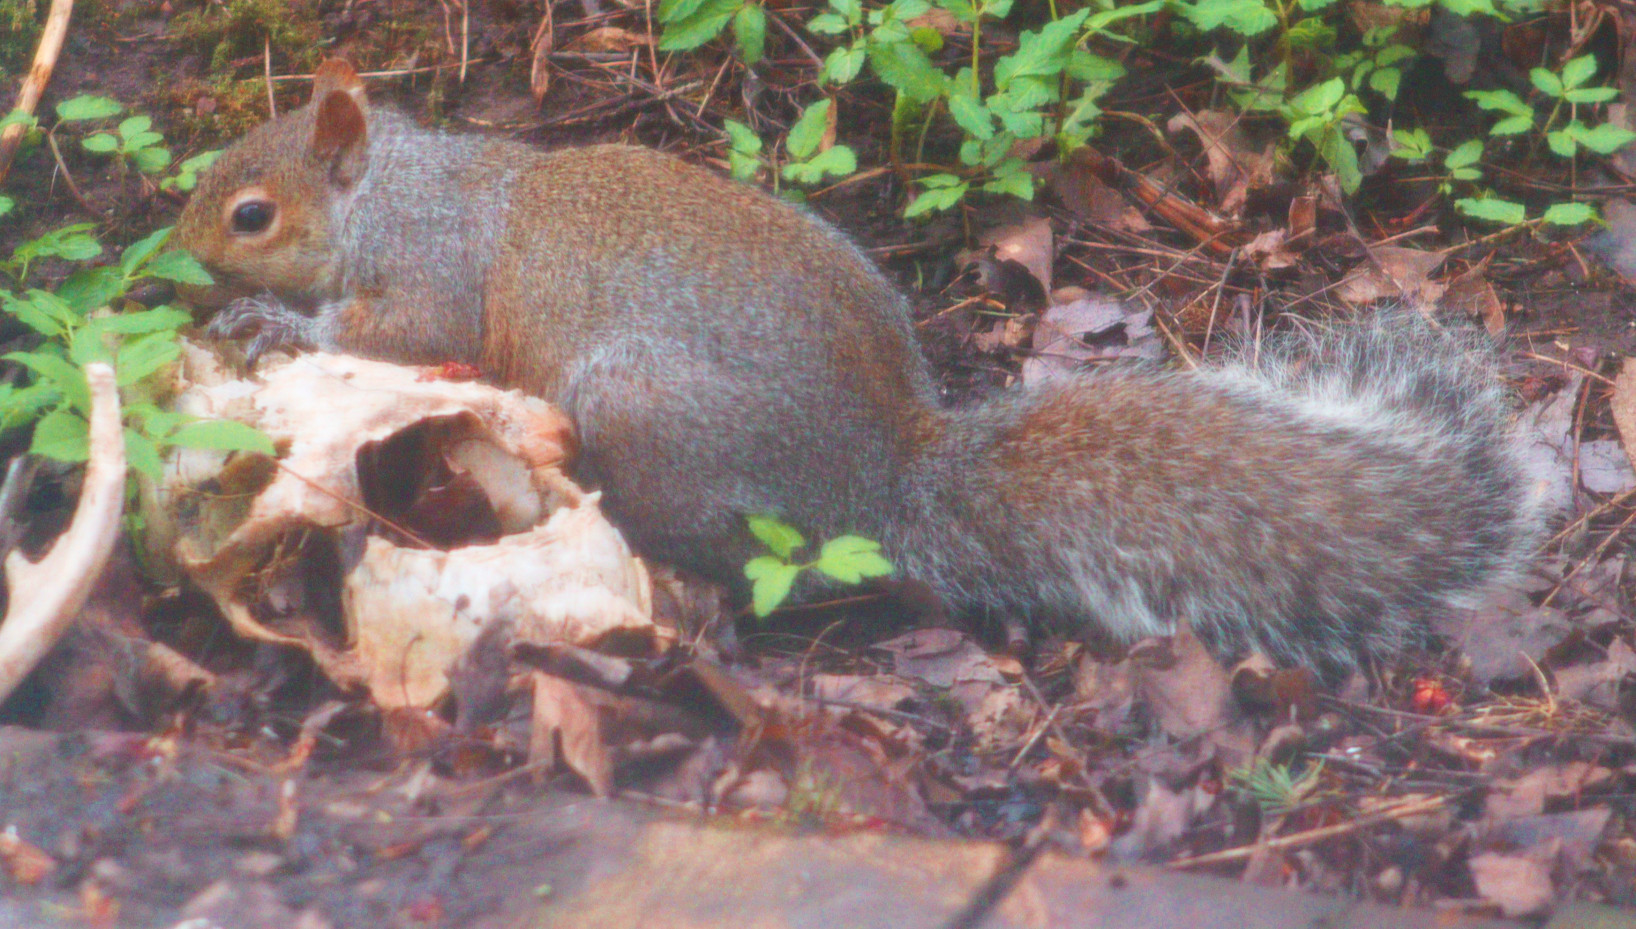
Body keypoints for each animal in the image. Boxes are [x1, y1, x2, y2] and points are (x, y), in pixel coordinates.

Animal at [171, 59, 1547, 679]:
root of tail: (887, 476)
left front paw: (273, 327)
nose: (178, 248)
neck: (395, 186)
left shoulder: (431, 281)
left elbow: (389, 337)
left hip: (642, 416)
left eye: (250, 211)